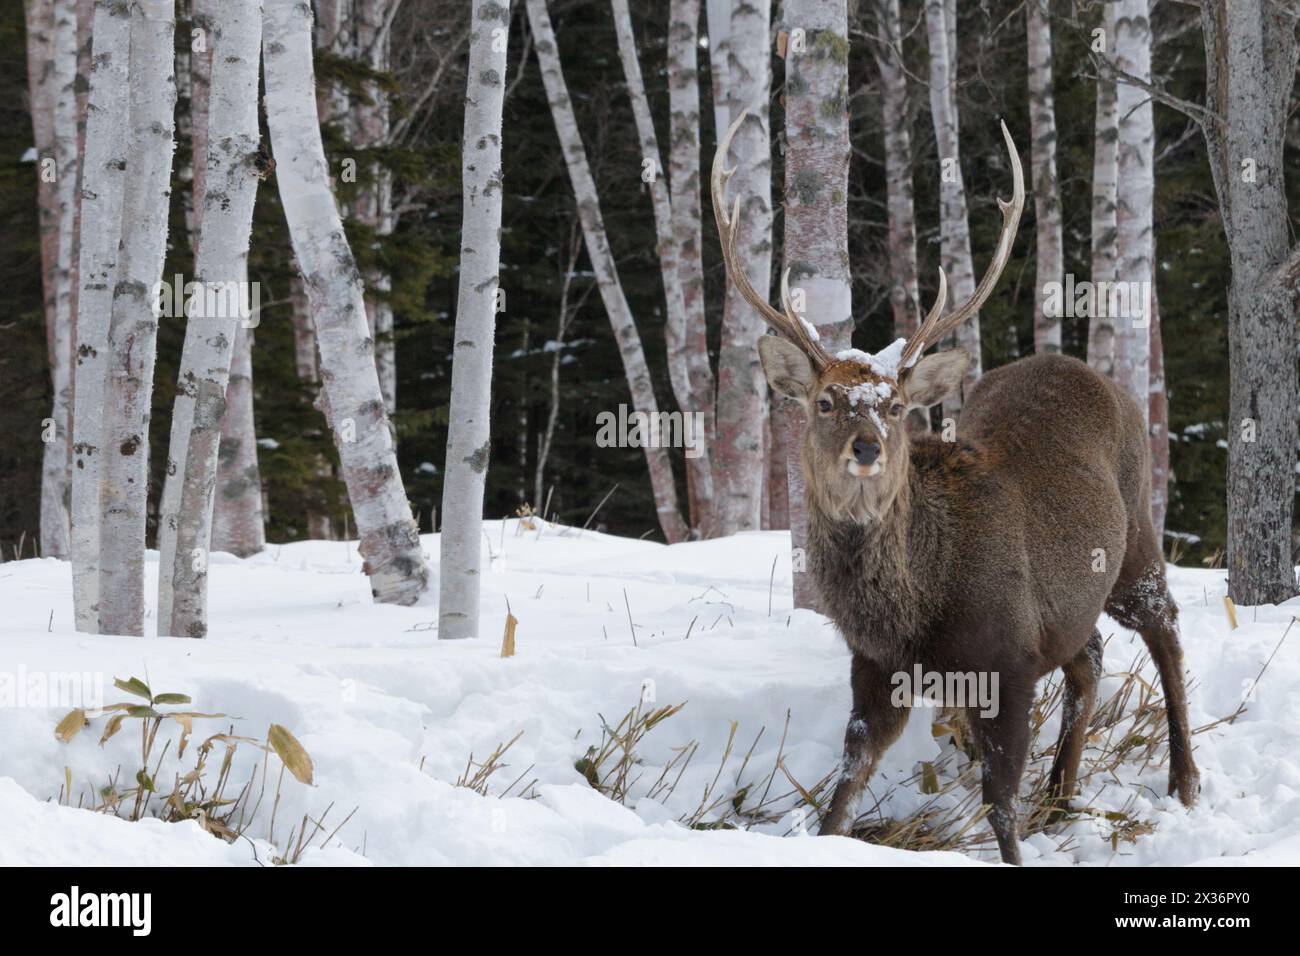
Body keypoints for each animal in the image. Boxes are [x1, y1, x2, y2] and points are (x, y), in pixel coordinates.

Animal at [712, 113, 1199, 864]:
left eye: (892, 404)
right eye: (825, 402)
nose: (866, 447)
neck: (917, 607)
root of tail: (1095, 374)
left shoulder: (1008, 657)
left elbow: (998, 801)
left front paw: (1016, 845)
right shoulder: (876, 668)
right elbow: (844, 787)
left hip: (1137, 533)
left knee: (1165, 628)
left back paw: (1183, 781)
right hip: (1074, 600)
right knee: (1089, 656)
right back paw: (1062, 797)